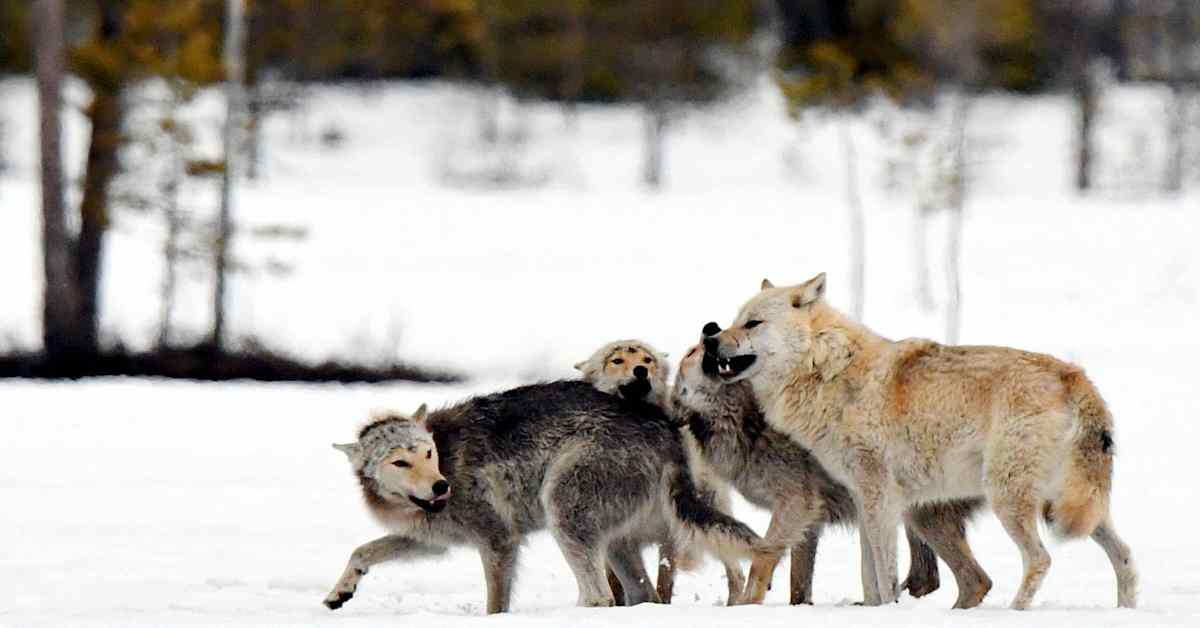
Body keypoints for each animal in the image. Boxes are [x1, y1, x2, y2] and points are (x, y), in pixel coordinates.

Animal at [324, 381, 762, 614]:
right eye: (399, 461)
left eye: (428, 453)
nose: (440, 487)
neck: (449, 459)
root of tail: (665, 429)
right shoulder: (431, 541)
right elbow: (362, 551)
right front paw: (339, 593)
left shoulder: (499, 540)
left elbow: (495, 604)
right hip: (616, 544)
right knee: (642, 596)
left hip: (564, 514)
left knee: (599, 597)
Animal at [672, 339, 989, 607]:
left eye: (693, 349)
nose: (710, 329)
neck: (749, 423)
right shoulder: (809, 523)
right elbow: (798, 586)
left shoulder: (797, 505)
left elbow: (763, 556)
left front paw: (748, 604)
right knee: (944, 579)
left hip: (917, 516)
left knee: (971, 580)